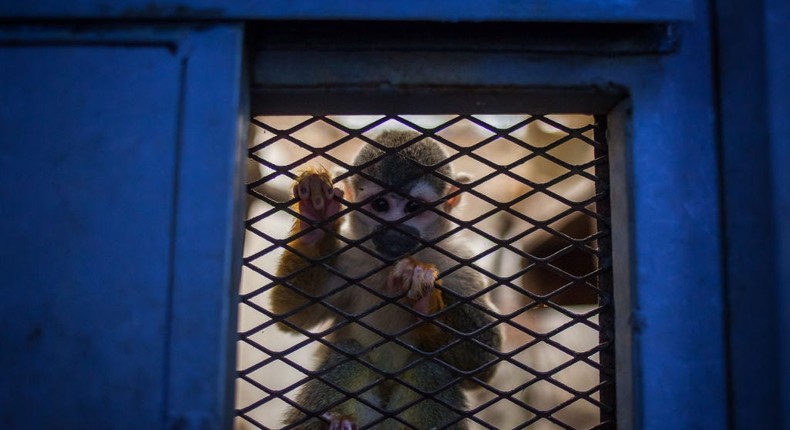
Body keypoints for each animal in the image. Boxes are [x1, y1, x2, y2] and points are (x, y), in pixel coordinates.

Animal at [270, 130, 503, 430]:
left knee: (429, 367)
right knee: (349, 355)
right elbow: (291, 313)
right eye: (381, 205)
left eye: (413, 207)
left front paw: (426, 297)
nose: (394, 231)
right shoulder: (350, 260)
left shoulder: (461, 266)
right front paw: (316, 218)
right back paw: (339, 422)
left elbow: (484, 363)